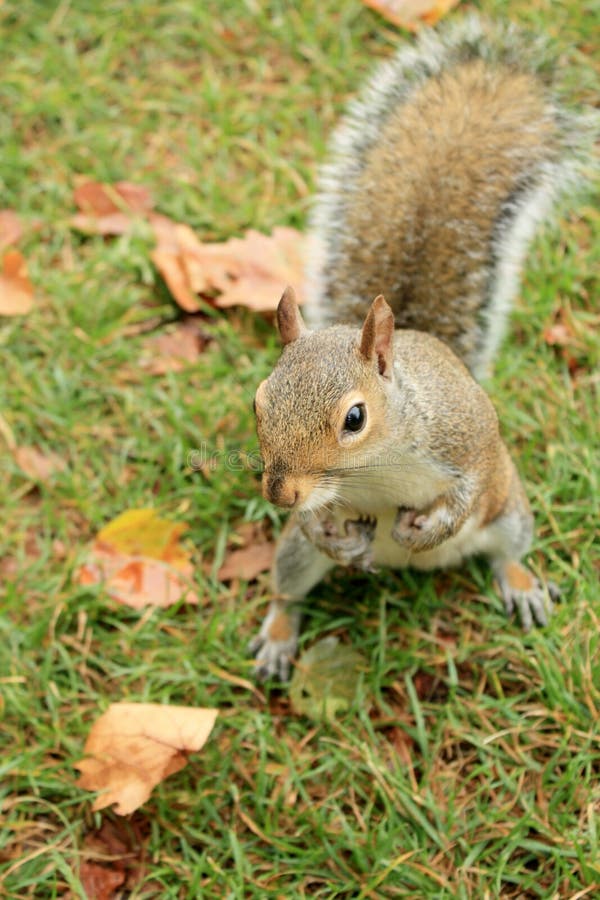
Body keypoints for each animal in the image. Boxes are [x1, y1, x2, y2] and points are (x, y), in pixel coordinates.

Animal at [249, 16, 595, 680]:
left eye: (354, 418)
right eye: (258, 402)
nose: (280, 493)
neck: (376, 467)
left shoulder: (467, 436)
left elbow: (465, 492)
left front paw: (426, 530)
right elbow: (313, 523)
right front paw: (331, 532)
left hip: (512, 513)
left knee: (507, 550)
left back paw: (517, 584)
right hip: (293, 559)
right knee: (288, 586)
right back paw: (280, 633)